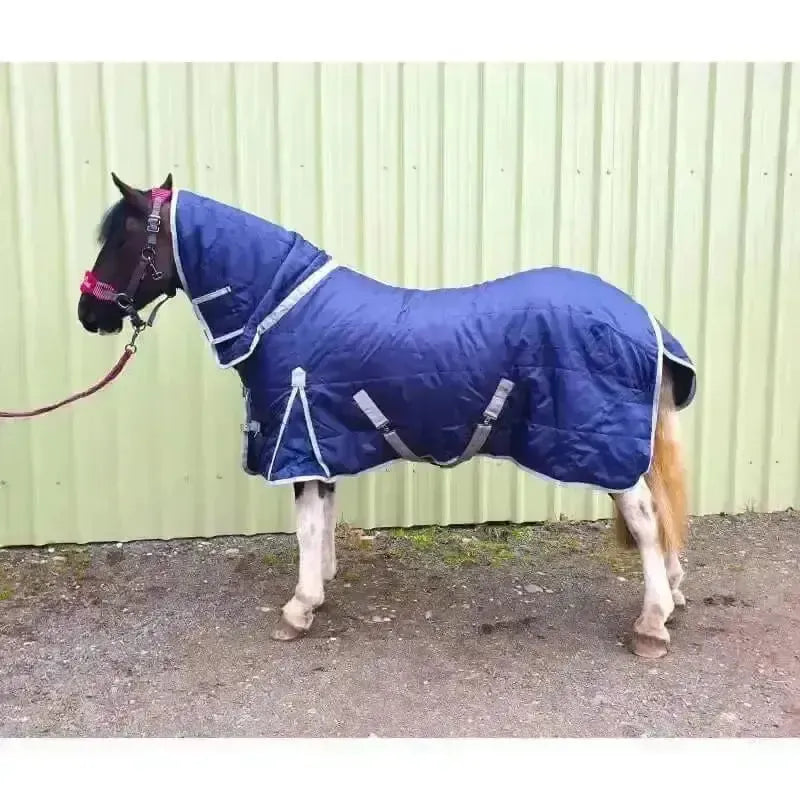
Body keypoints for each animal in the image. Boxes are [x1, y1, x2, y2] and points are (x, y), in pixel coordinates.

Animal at [77, 172, 697, 659]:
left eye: (123, 238)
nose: (88, 314)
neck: (281, 309)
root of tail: (644, 319)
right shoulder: (320, 439)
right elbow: (323, 517)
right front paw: (321, 584)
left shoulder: (297, 436)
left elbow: (306, 525)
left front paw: (299, 608)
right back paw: (672, 593)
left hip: (609, 450)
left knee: (646, 518)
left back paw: (652, 623)